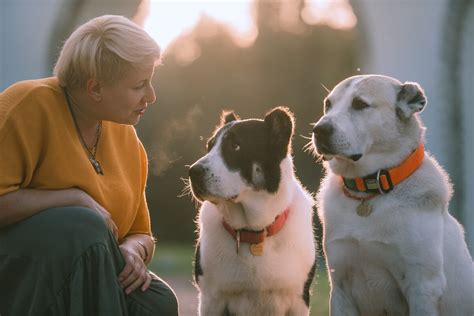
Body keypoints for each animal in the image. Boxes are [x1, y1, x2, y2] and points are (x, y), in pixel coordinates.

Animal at [187, 107, 316, 316]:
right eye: (209, 147)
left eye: (235, 146)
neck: (254, 232)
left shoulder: (299, 300)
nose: (193, 172)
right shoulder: (211, 300)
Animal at [312, 74, 474, 316]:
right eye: (327, 105)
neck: (368, 189)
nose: (318, 130)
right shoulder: (340, 287)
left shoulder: (422, 286)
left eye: (359, 104)